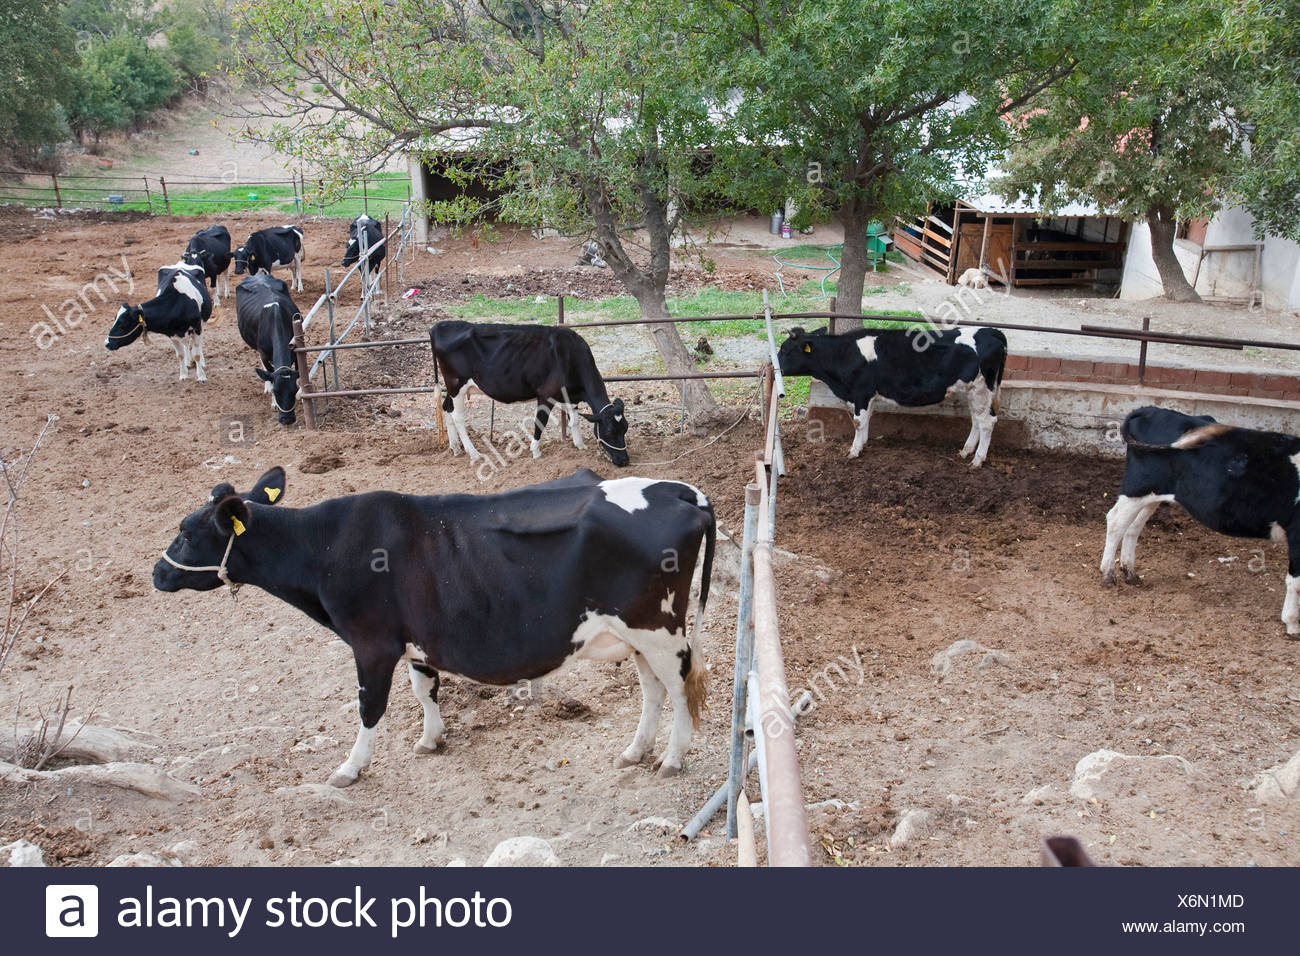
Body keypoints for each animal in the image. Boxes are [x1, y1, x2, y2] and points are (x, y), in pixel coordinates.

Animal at [152, 466, 715, 786]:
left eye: (187, 532)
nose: (157, 572)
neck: (327, 547)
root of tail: (676, 489)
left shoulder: (371, 642)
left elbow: (370, 707)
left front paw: (350, 768)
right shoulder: (413, 640)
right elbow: (425, 689)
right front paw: (431, 738)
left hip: (659, 628)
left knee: (679, 688)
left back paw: (672, 759)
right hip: (637, 635)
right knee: (653, 690)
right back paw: (635, 752)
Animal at [235, 273, 301, 425]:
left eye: (294, 391)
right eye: (276, 391)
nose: (287, 419)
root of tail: (257, 275)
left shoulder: (294, 349)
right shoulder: (263, 353)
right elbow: (270, 373)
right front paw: (274, 402)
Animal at [430, 320, 630, 467]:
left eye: (625, 429)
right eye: (609, 432)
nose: (624, 461)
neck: (570, 357)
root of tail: (440, 325)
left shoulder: (571, 396)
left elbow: (574, 420)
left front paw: (580, 445)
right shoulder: (545, 394)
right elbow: (540, 422)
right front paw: (536, 452)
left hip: (452, 388)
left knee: (447, 408)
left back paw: (456, 448)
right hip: (457, 385)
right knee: (457, 416)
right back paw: (474, 453)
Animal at [777, 324, 1008, 467]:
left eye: (785, 350)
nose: (772, 363)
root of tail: (992, 331)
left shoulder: (861, 392)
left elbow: (858, 422)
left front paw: (854, 451)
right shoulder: (868, 395)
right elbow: (866, 419)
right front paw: (862, 444)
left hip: (981, 389)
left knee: (987, 422)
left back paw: (977, 460)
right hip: (974, 392)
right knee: (977, 420)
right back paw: (965, 451)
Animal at [1100, 405, 1300, 638]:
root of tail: (1151, 410)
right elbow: (1296, 583)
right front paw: (1292, 624)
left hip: (1153, 495)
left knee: (1133, 527)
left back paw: (1130, 573)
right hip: (1138, 487)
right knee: (1116, 521)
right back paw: (1108, 575)